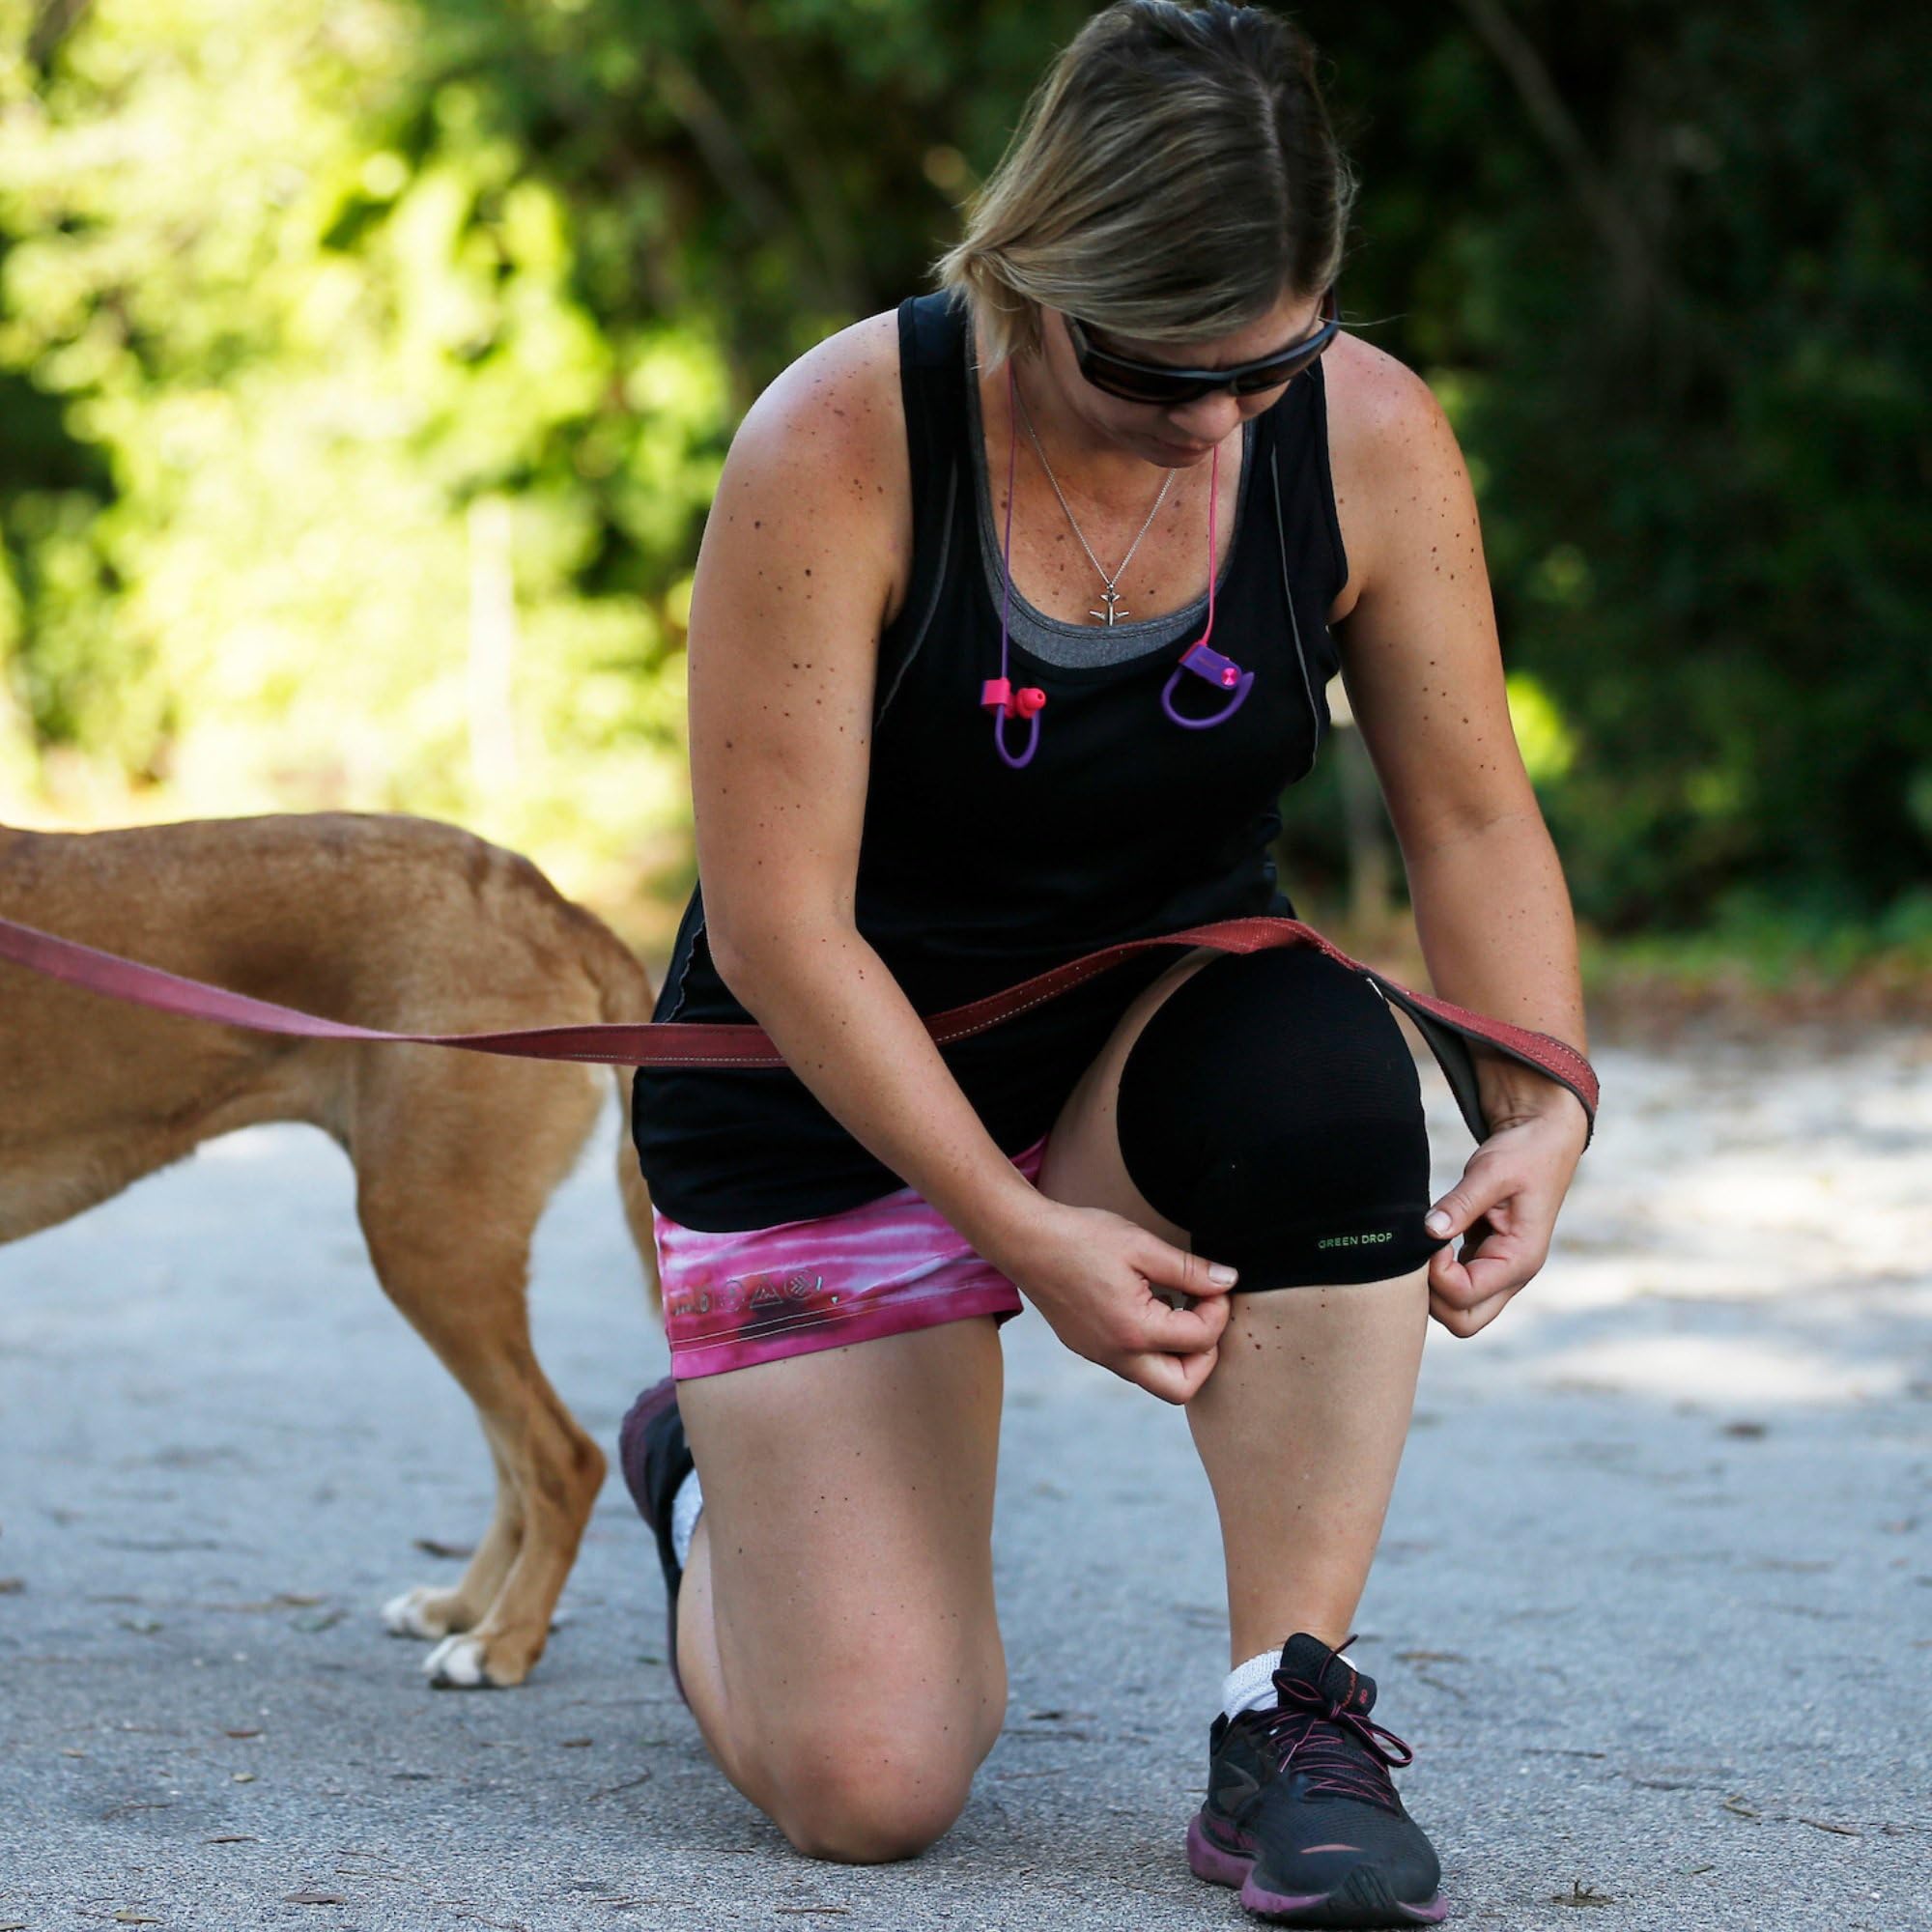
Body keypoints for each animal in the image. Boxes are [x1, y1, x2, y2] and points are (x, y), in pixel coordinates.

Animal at [0, 808, 665, 1685]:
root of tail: (541, 897)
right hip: (448, 1252)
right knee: (514, 1464)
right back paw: (465, 1608)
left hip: (426, 1241)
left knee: (562, 1460)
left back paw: (503, 1644)